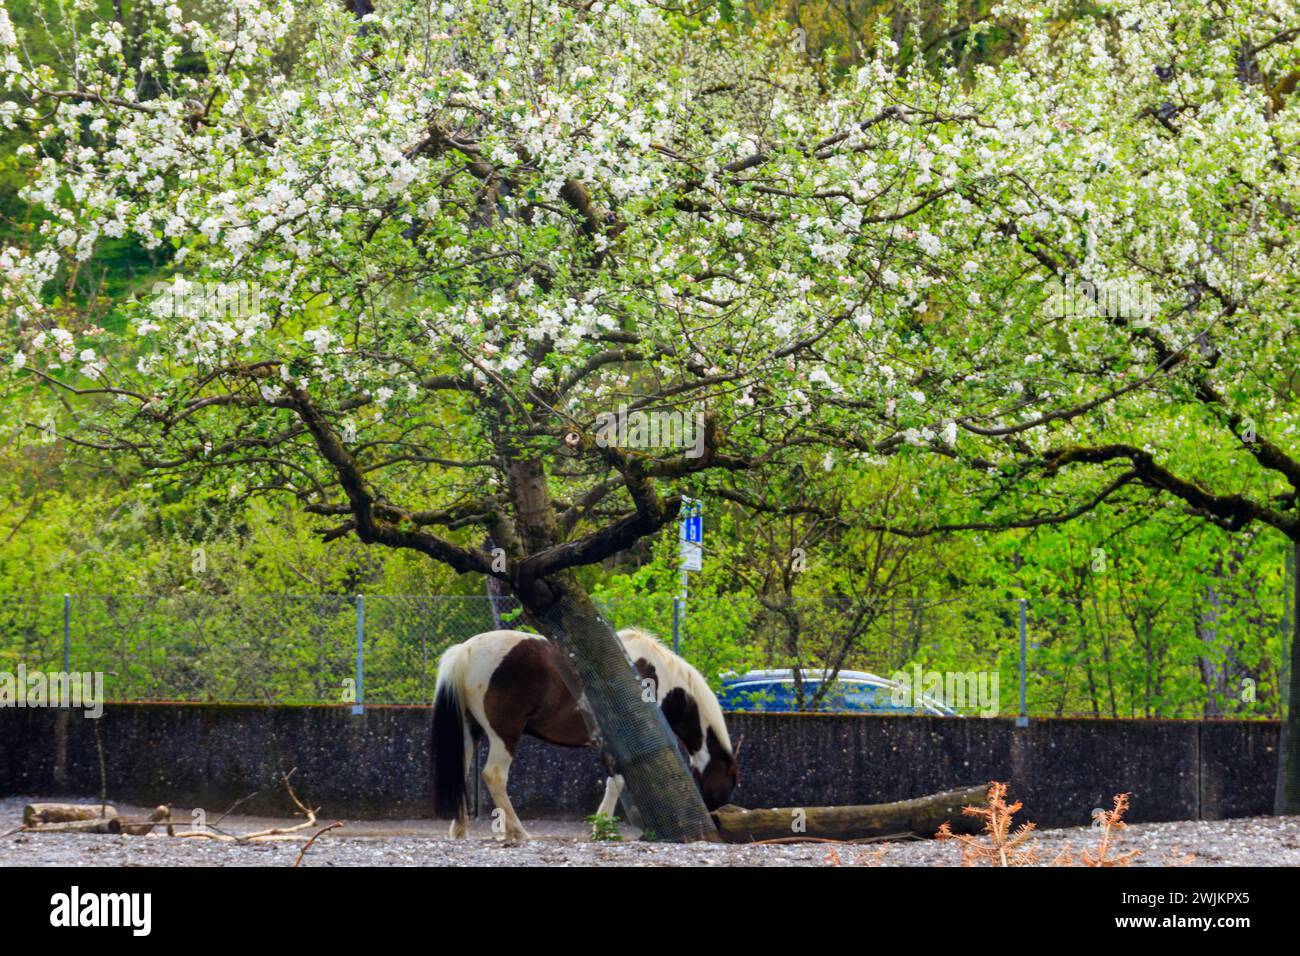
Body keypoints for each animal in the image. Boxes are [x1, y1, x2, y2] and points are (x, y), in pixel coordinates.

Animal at [431, 627, 740, 843]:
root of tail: (466, 650)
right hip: (503, 735)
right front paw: (602, 828)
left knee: (461, 769)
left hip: (470, 731)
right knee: (494, 776)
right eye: (732, 779)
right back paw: (518, 832)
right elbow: (618, 782)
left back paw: (460, 829)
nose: (718, 815)